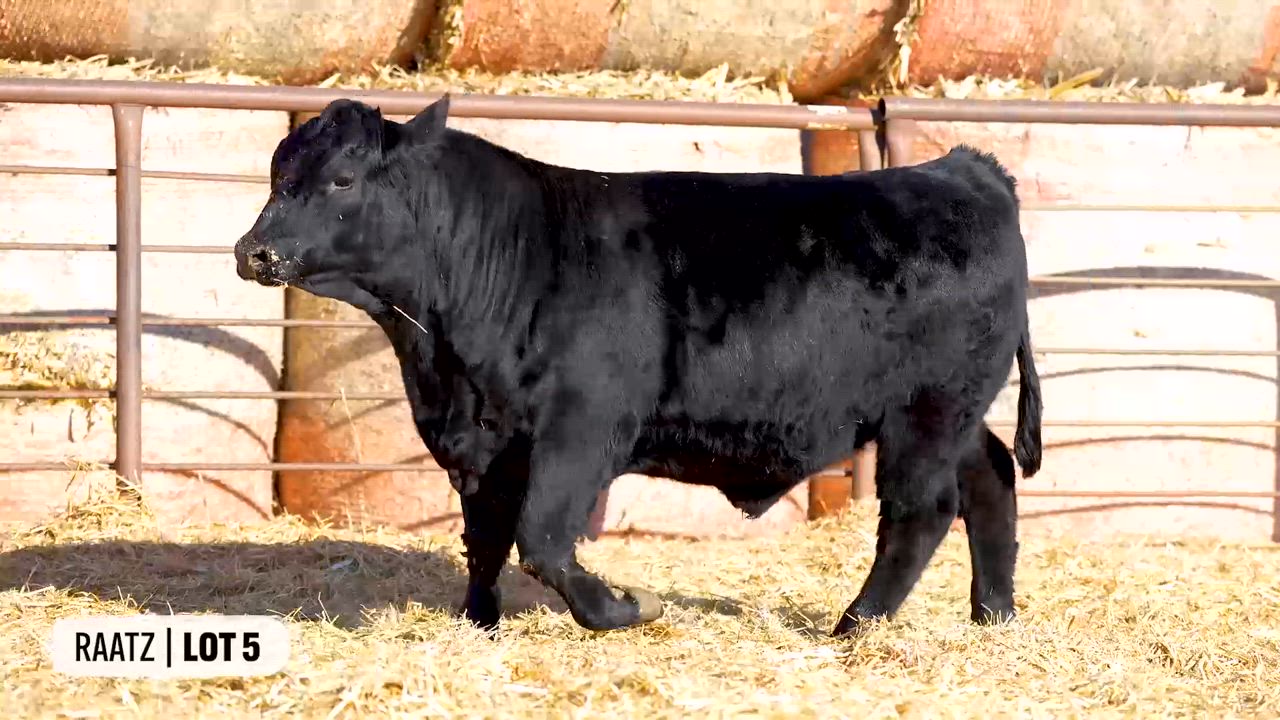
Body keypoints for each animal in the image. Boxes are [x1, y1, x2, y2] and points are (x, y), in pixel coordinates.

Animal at [233, 95, 1043, 637]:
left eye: (342, 179)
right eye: (277, 171)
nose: (253, 251)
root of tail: (964, 172)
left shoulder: (582, 429)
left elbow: (542, 539)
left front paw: (623, 606)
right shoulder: (483, 442)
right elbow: (485, 538)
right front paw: (478, 622)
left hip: (925, 410)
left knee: (920, 510)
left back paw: (857, 625)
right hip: (957, 412)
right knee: (991, 475)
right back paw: (993, 613)